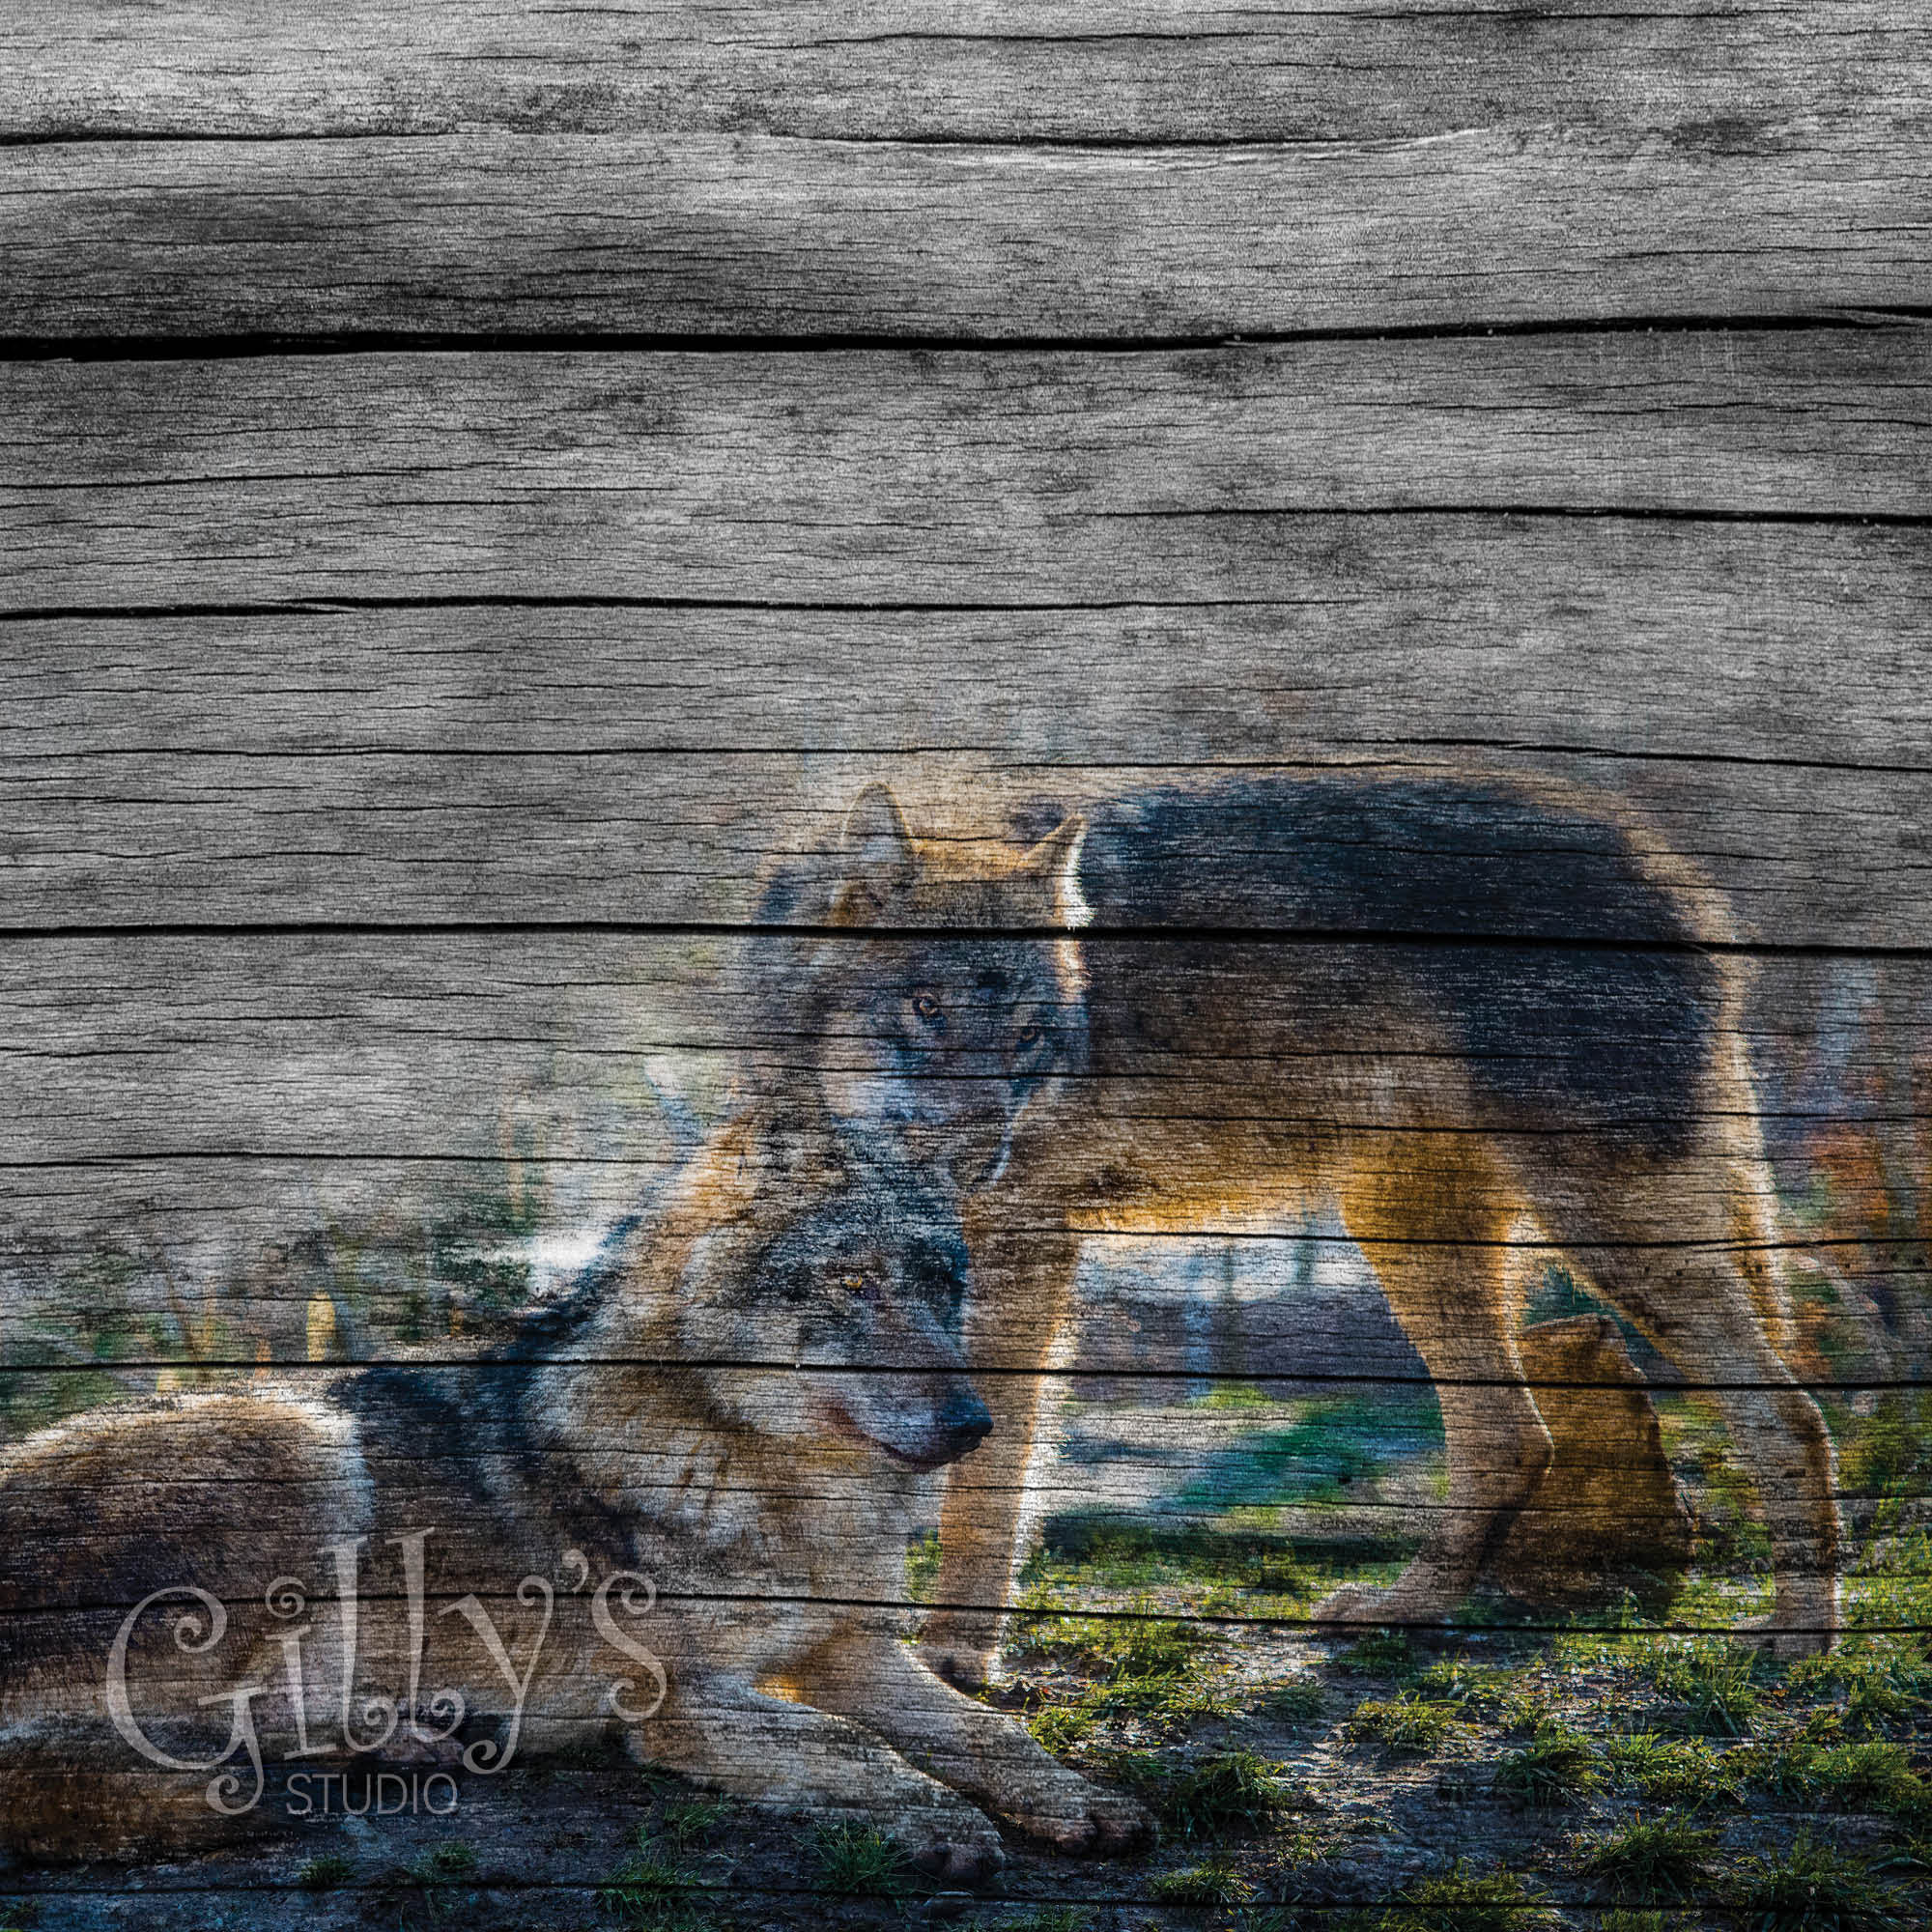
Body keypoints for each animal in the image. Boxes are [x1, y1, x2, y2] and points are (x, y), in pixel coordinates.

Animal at [0, 1111, 1147, 1868]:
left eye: (941, 1285)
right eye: (856, 1285)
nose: (975, 1426)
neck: (776, 1484)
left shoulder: (839, 1645)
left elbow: (981, 1727)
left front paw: (1078, 1798)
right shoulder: (679, 1700)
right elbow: (850, 1740)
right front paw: (943, 1823)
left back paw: (429, 1735)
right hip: (308, 1444)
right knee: (221, 1730)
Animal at [744, 774, 1841, 1685]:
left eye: (1027, 1036)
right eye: (925, 1006)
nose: (981, 1162)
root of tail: (1682, 884)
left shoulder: (1024, 1247)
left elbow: (987, 1474)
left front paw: (955, 1654)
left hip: (1603, 1234)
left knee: (1788, 1414)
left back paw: (1802, 1638)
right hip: (1407, 1231)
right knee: (1515, 1441)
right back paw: (1404, 1610)